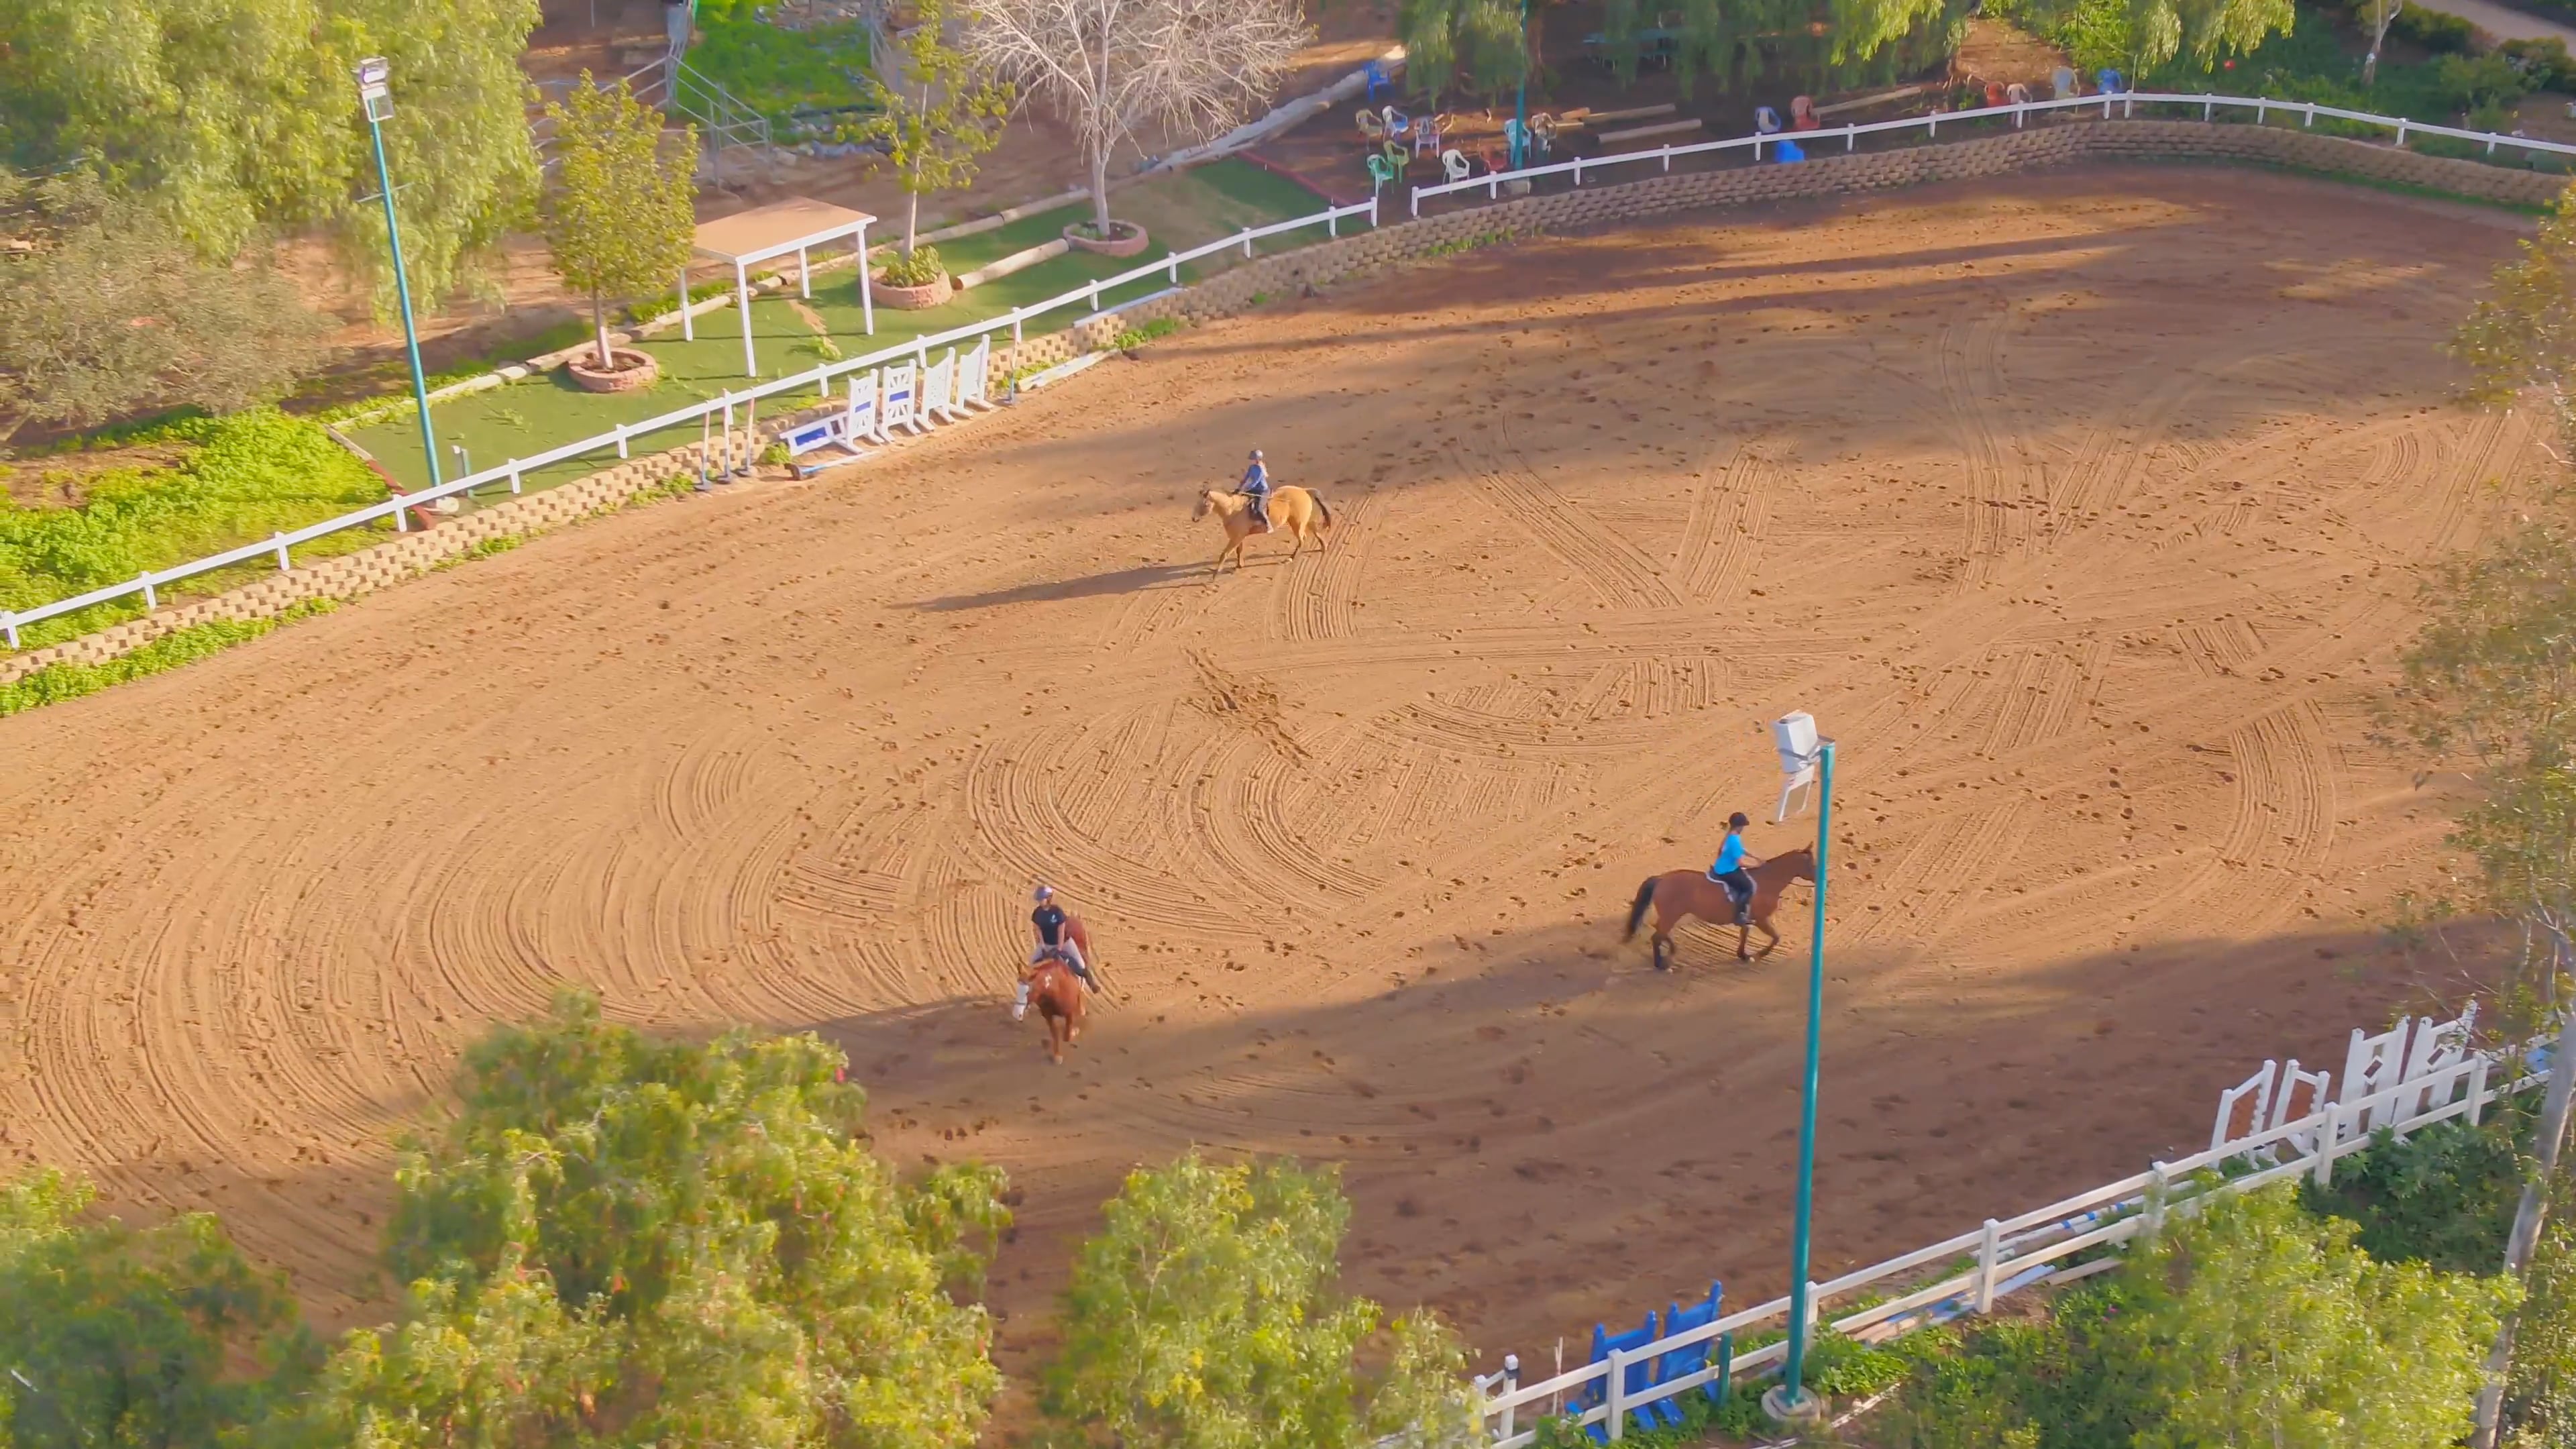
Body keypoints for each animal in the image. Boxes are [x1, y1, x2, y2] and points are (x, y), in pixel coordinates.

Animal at [1193, 487, 1333, 576]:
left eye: (1205, 504)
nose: (1194, 519)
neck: (1233, 509)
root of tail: (1304, 490)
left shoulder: (1236, 538)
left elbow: (1225, 554)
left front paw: (1216, 574)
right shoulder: (1239, 537)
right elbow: (1239, 551)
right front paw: (1239, 565)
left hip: (1297, 525)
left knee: (1302, 540)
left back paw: (1290, 559)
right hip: (1306, 521)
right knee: (1316, 532)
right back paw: (1324, 547)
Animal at [1622, 846, 1817, 970]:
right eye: (1811, 864)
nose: (1819, 877)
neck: (1768, 881)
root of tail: (1662, 878)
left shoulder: (1749, 919)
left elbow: (1745, 934)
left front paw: (1743, 955)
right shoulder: (1762, 919)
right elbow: (1776, 938)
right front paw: (1758, 955)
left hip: (1671, 916)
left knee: (1660, 933)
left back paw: (1670, 953)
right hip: (1671, 915)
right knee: (1657, 936)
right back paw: (1662, 963)